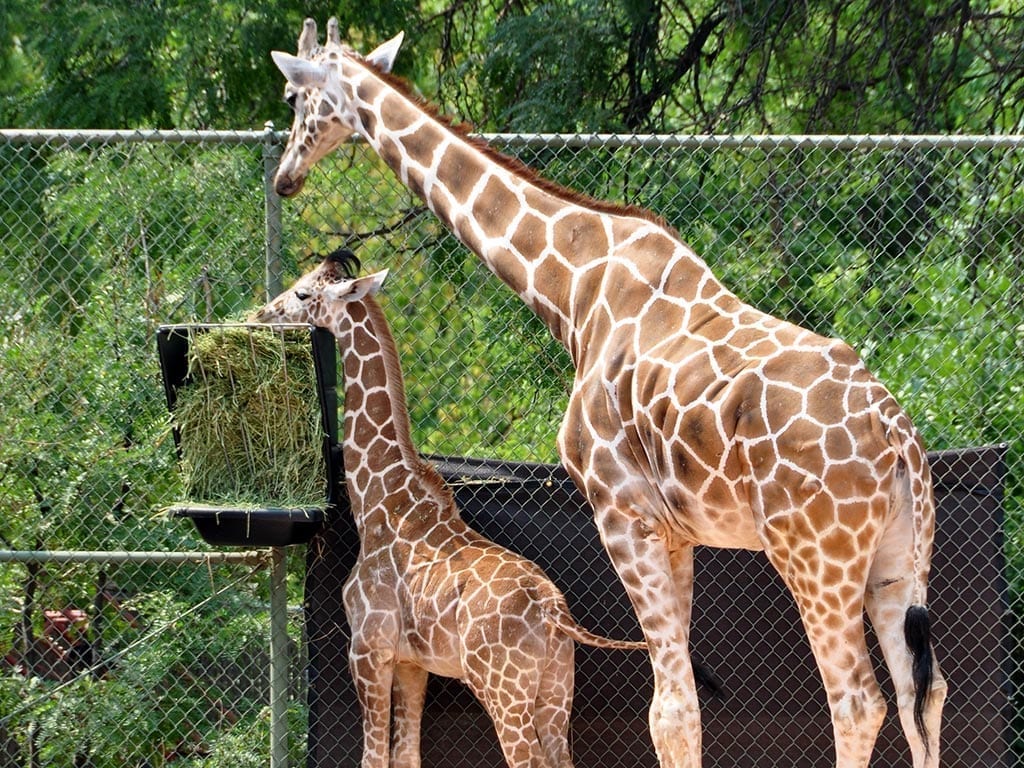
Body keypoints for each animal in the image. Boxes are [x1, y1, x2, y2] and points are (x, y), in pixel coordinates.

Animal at [251, 248, 651, 768]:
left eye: (302, 292)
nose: (262, 313)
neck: (377, 500)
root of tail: (552, 610)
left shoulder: (368, 649)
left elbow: (373, 757)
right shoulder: (411, 663)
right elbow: (407, 755)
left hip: (503, 689)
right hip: (556, 689)